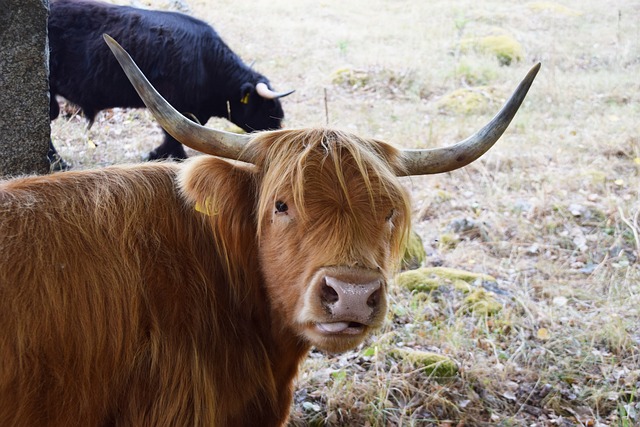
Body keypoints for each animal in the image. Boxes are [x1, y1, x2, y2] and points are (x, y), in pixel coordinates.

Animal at [48, 0, 293, 166]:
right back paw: (58, 162)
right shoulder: (175, 103)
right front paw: (165, 155)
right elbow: (171, 135)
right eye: (268, 106)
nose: (280, 129)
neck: (206, 61)